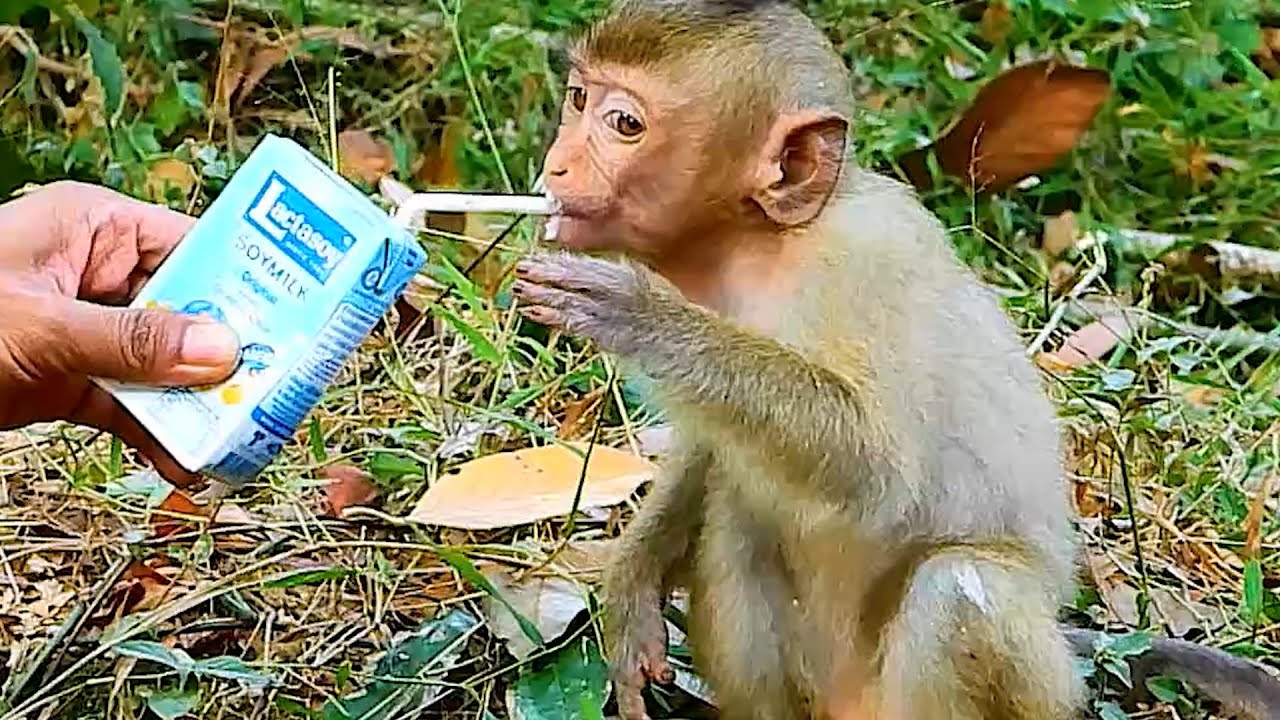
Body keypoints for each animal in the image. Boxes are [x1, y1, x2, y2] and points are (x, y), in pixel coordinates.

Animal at [507, 1, 1280, 719]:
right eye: (578, 99)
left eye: (624, 124)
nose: (556, 164)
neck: (762, 245)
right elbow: (709, 448)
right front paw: (633, 590)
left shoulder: (864, 267)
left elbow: (879, 467)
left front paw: (638, 314)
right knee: (739, 510)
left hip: (1020, 688)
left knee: (959, 590)